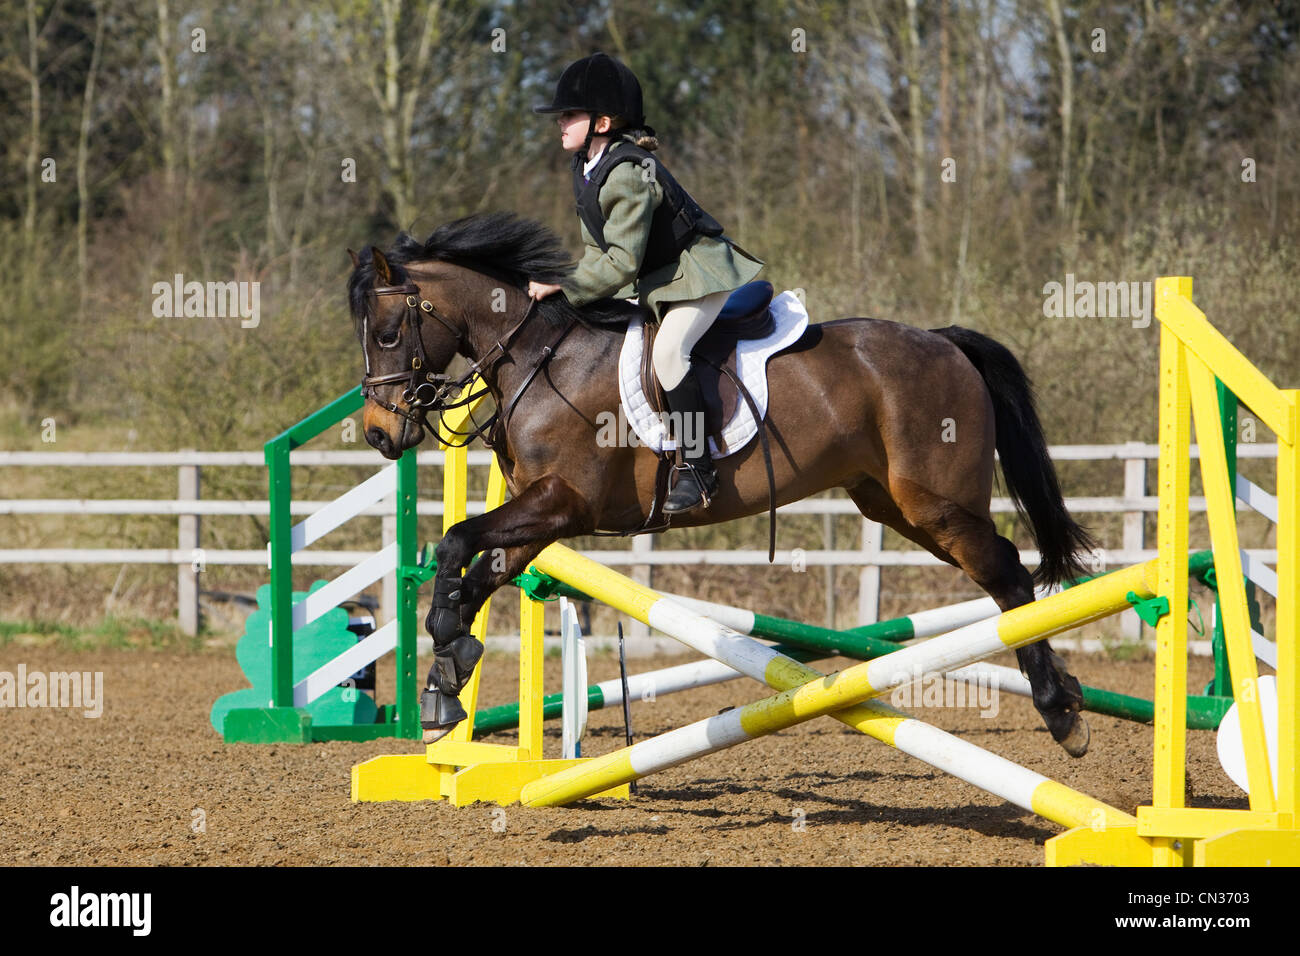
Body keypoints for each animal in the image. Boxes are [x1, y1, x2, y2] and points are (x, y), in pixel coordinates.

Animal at [347, 211, 1096, 757]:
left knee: (1007, 572)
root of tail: (944, 341)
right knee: (1002, 574)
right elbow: (479, 569)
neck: (539, 358)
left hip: (936, 503)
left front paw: (447, 649)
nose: (380, 435)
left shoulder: (563, 504)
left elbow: (455, 541)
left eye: (385, 334)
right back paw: (1062, 699)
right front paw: (448, 675)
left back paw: (1061, 714)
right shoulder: (542, 517)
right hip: (895, 505)